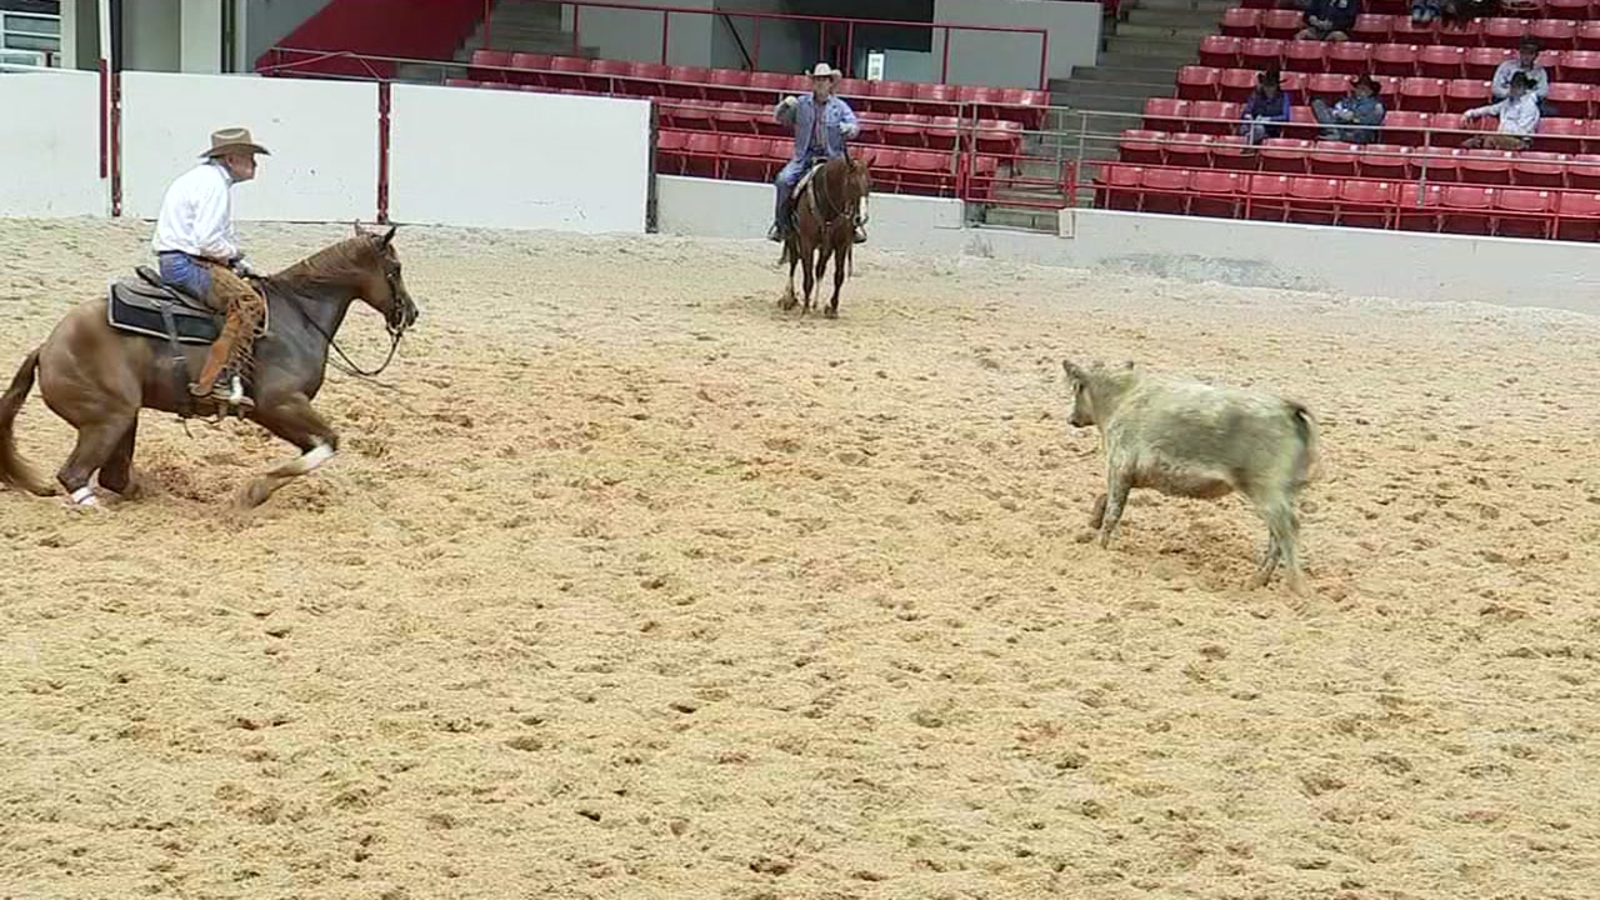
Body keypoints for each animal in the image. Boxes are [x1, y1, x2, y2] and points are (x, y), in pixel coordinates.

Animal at [0, 222, 419, 510]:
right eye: (396, 269)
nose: (411, 313)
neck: (297, 315)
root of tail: (46, 347)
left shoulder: (275, 413)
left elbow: (317, 447)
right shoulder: (280, 404)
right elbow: (329, 443)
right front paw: (256, 490)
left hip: (124, 417)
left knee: (114, 476)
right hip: (108, 418)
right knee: (74, 474)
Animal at [777, 154, 870, 319]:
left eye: (870, 184)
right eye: (852, 183)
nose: (862, 217)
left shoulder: (841, 244)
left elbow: (838, 276)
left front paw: (832, 308)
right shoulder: (807, 243)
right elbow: (808, 278)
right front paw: (806, 309)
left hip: (826, 247)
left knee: (820, 268)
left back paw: (814, 303)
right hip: (793, 237)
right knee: (794, 261)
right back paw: (789, 298)